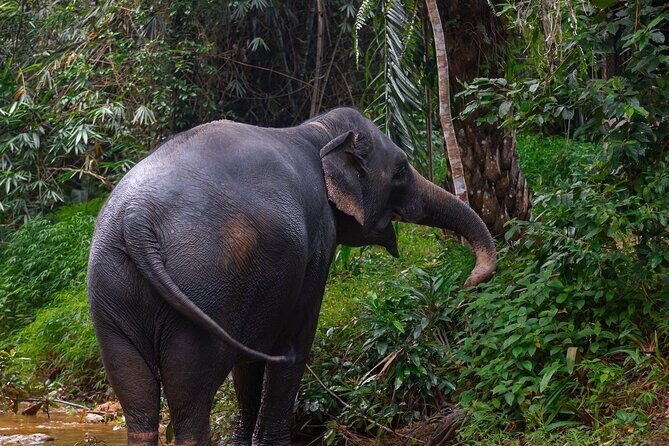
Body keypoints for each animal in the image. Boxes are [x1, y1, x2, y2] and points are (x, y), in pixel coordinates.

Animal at [87, 107, 496, 446]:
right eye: (400, 169)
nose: (469, 280)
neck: (316, 130)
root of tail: (136, 218)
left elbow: (248, 364)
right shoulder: (316, 245)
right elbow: (296, 342)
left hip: (112, 293)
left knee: (136, 396)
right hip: (201, 287)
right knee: (191, 398)